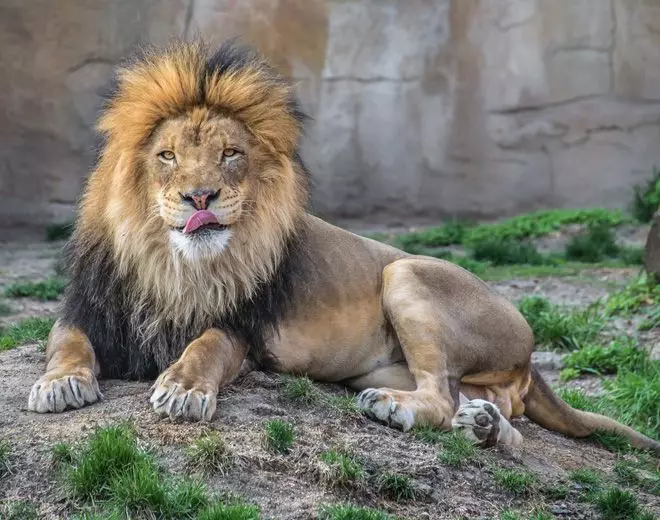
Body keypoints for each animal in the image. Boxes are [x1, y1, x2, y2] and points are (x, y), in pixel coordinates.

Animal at [28, 41, 656, 456]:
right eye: (167, 156)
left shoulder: (242, 331)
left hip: (405, 273)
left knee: (441, 396)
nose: (199, 195)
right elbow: (66, 345)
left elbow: (205, 346)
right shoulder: (87, 308)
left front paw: (182, 390)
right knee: (498, 413)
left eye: (231, 154)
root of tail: (529, 347)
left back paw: (400, 410)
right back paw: (482, 426)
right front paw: (59, 385)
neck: (173, 265)